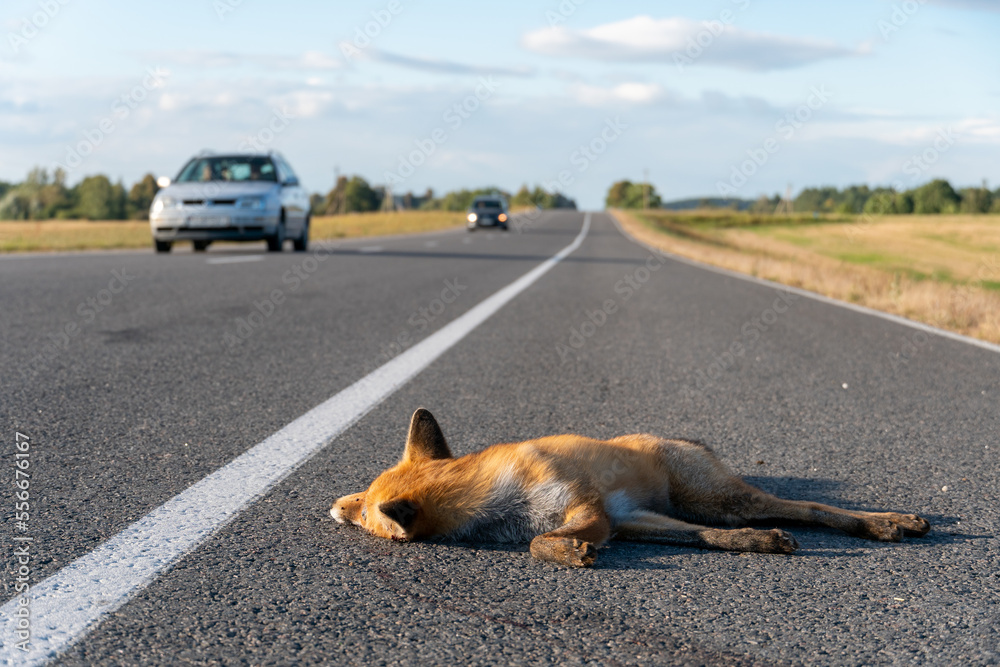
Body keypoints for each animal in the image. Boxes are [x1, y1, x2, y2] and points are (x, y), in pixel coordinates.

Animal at [330, 408, 931, 567]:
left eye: (364, 517)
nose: (337, 507)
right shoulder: (611, 520)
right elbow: (542, 539)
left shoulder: (587, 506)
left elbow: (538, 543)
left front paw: (567, 554)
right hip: (654, 520)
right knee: (711, 536)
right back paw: (759, 543)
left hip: (719, 500)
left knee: (806, 505)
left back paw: (886, 522)